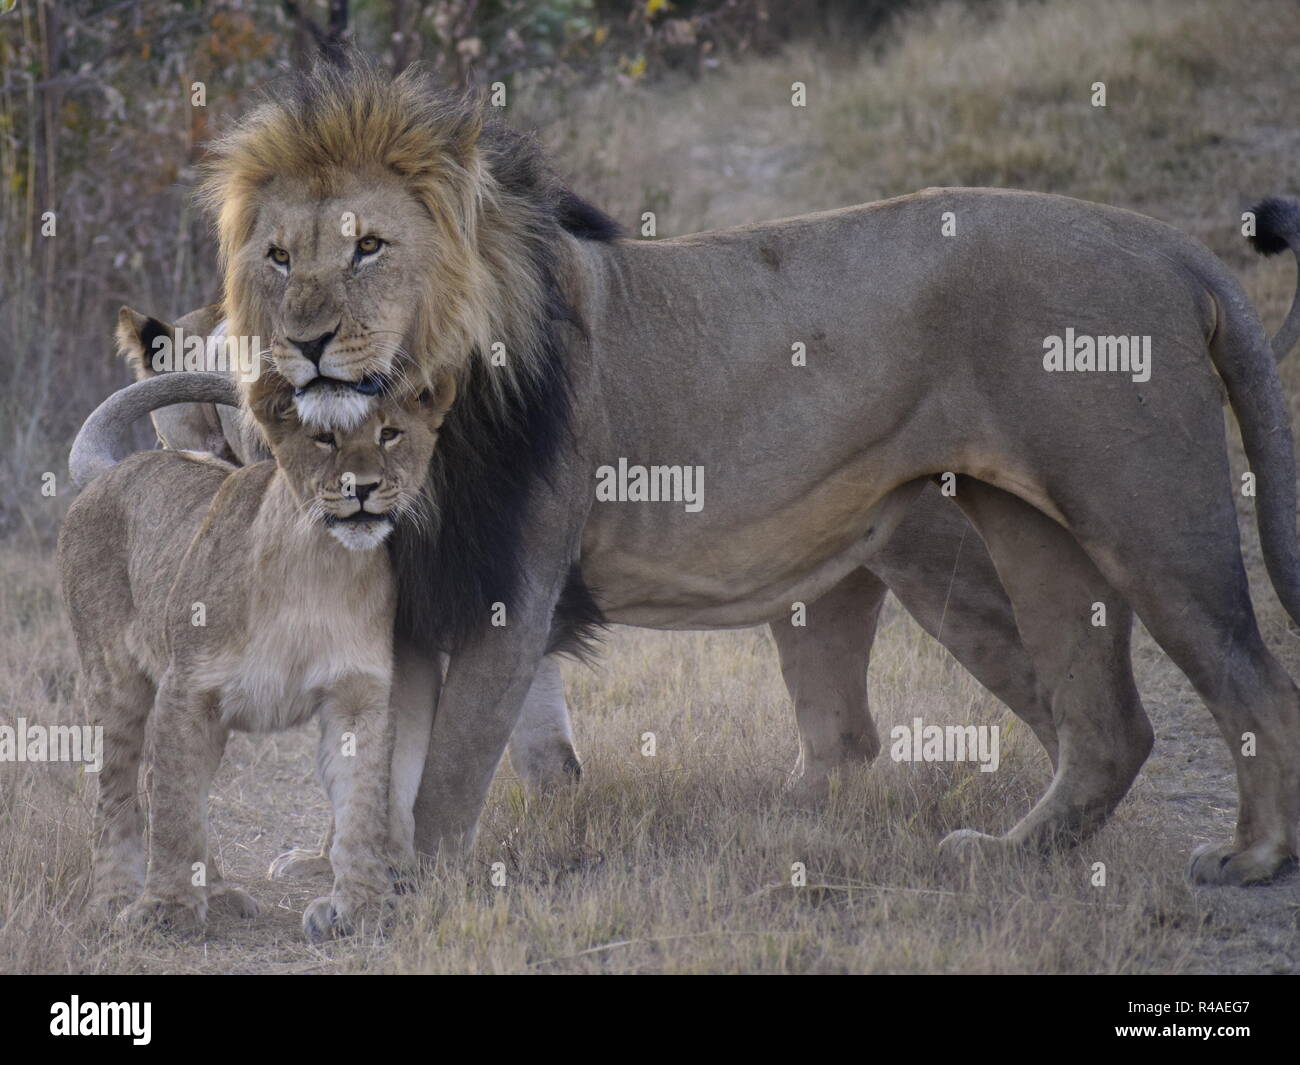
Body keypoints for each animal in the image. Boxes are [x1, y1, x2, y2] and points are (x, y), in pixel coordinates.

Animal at [60, 366, 454, 940]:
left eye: (389, 434)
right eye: (324, 438)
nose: (361, 487)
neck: (318, 563)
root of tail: (117, 467)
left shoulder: (357, 697)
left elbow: (363, 806)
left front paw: (363, 906)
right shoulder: (187, 689)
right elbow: (175, 812)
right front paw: (168, 909)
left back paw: (219, 895)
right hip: (113, 680)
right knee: (119, 790)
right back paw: (116, 899)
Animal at [198, 56, 1300, 885]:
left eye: (370, 248)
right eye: (281, 257)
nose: (305, 344)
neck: (425, 404)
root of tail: (1167, 247)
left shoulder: (512, 587)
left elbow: (452, 769)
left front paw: (412, 885)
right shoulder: (416, 589)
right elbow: (381, 757)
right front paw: (342, 867)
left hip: (1144, 513)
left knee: (1249, 678)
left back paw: (1251, 859)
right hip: (1027, 529)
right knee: (1106, 724)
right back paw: (1012, 851)